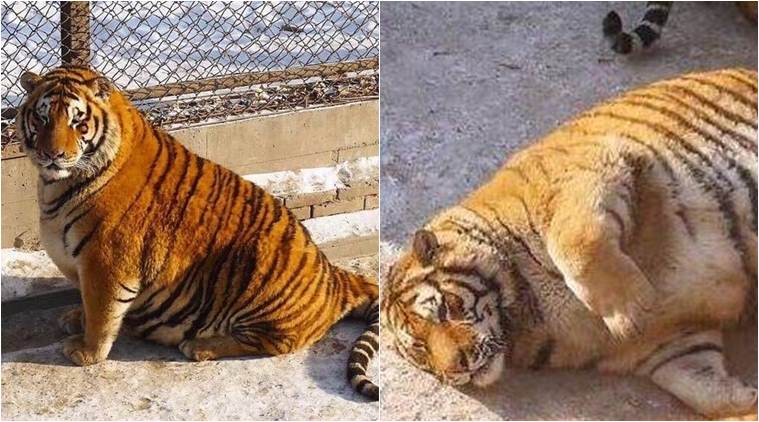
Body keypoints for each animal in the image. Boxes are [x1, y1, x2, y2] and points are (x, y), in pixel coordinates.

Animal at [14, 65, 379, 400]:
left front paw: (86, 352)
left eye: (78, 123)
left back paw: (200, 346)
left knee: (274, 342)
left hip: (261, 269)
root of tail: (335, 276)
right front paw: (76, 317)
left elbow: (101, 312)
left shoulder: (106, 262)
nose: (52, 155)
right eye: (42, 119)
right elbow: (87, 303)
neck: (57, 185)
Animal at [383, 68, 757, 417]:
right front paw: (745, 400)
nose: (458, 366)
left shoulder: (587, 174)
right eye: (420, 348)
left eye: (446, 307)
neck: (525, 318)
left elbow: (577, 244)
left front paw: (633, 310)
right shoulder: (668, 343)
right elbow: (703, 390)